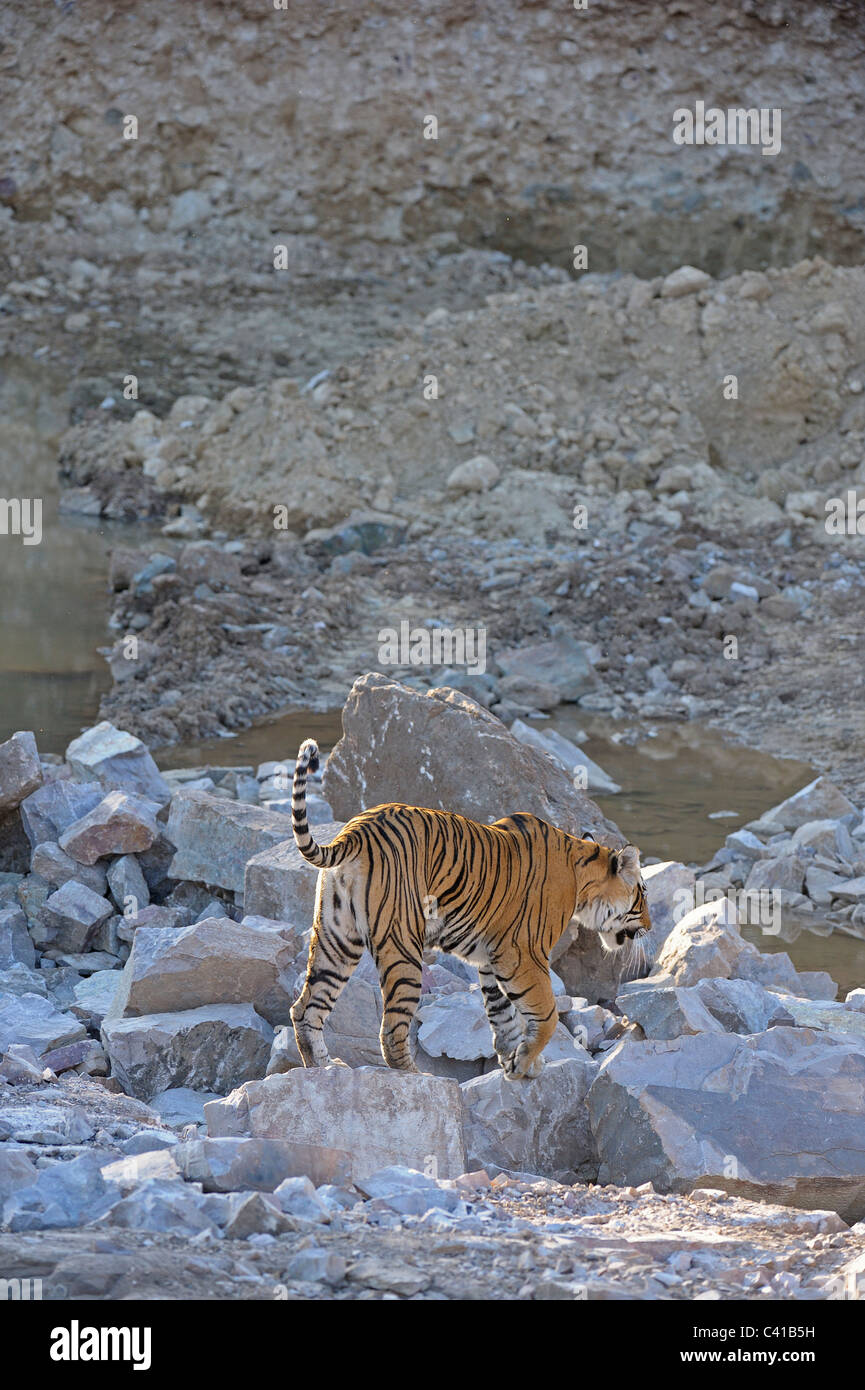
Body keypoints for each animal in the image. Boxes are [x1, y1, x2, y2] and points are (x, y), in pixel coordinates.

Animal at [289, 738, 651, 1081]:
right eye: (644, 894)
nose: (649, 926)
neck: (581, 877)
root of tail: (356, 829)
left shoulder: (492, 959)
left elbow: (504, 1016)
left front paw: (518, 1064)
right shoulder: (524, 954)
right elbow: (545, 1014)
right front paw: (524, 1063)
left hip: (337, 940)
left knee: (305, 1008)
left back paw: (322, 1067)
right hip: (402, 946)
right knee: (390, 1031)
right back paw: (420, 1079)